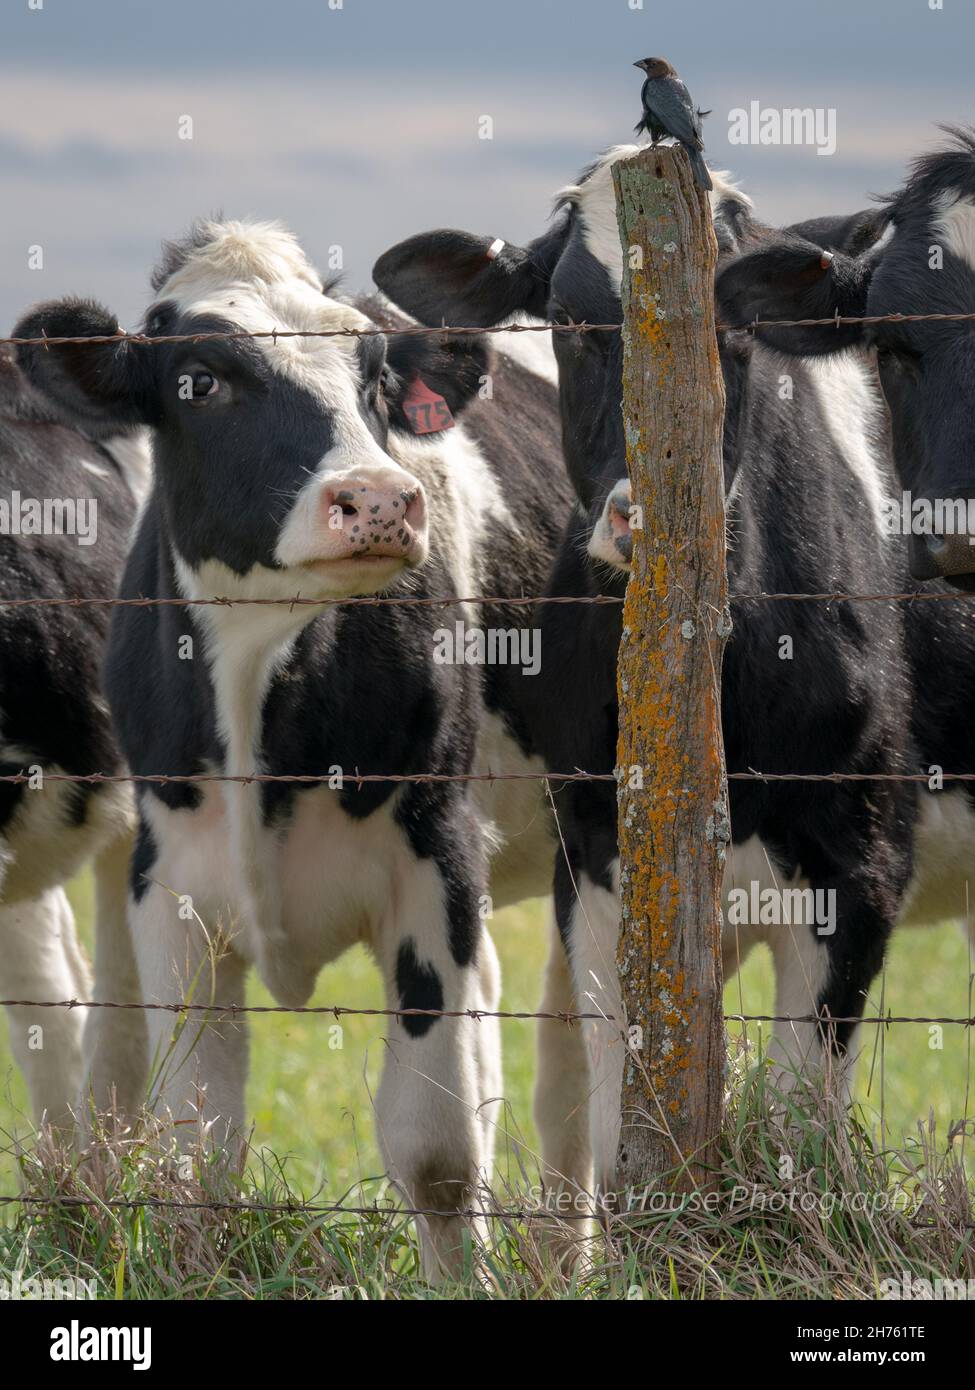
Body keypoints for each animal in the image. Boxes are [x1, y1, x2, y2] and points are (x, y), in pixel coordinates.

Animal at [14, 219, 574, 1278]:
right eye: (199, 381)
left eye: (376, 380)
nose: (380, 500)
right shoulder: (169, 888)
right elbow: (199, 1146)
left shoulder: (436, 867)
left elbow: (438, 1156)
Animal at [373, 142, 975, 1207]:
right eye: (569, 321)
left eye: (731, 331)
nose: (635, 517)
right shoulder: (597, 851)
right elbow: (620, 1125)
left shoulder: (863, 859)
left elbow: (802, 1127)